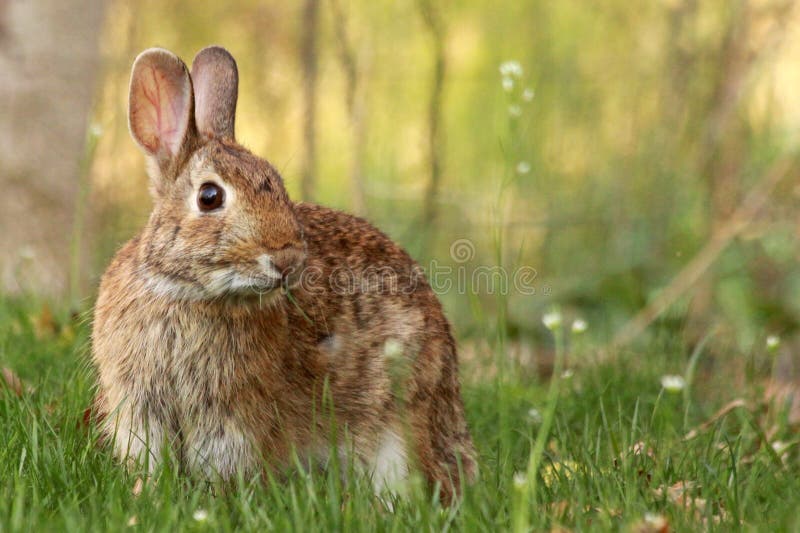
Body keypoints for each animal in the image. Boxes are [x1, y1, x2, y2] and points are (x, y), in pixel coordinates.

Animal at [91, 45, 476, 504]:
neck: (186, 291)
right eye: (209, 196)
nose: (288, 258)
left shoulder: (231, 418)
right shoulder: (140, 408)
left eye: (277, 182)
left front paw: (214, 501)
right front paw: (146, 494)